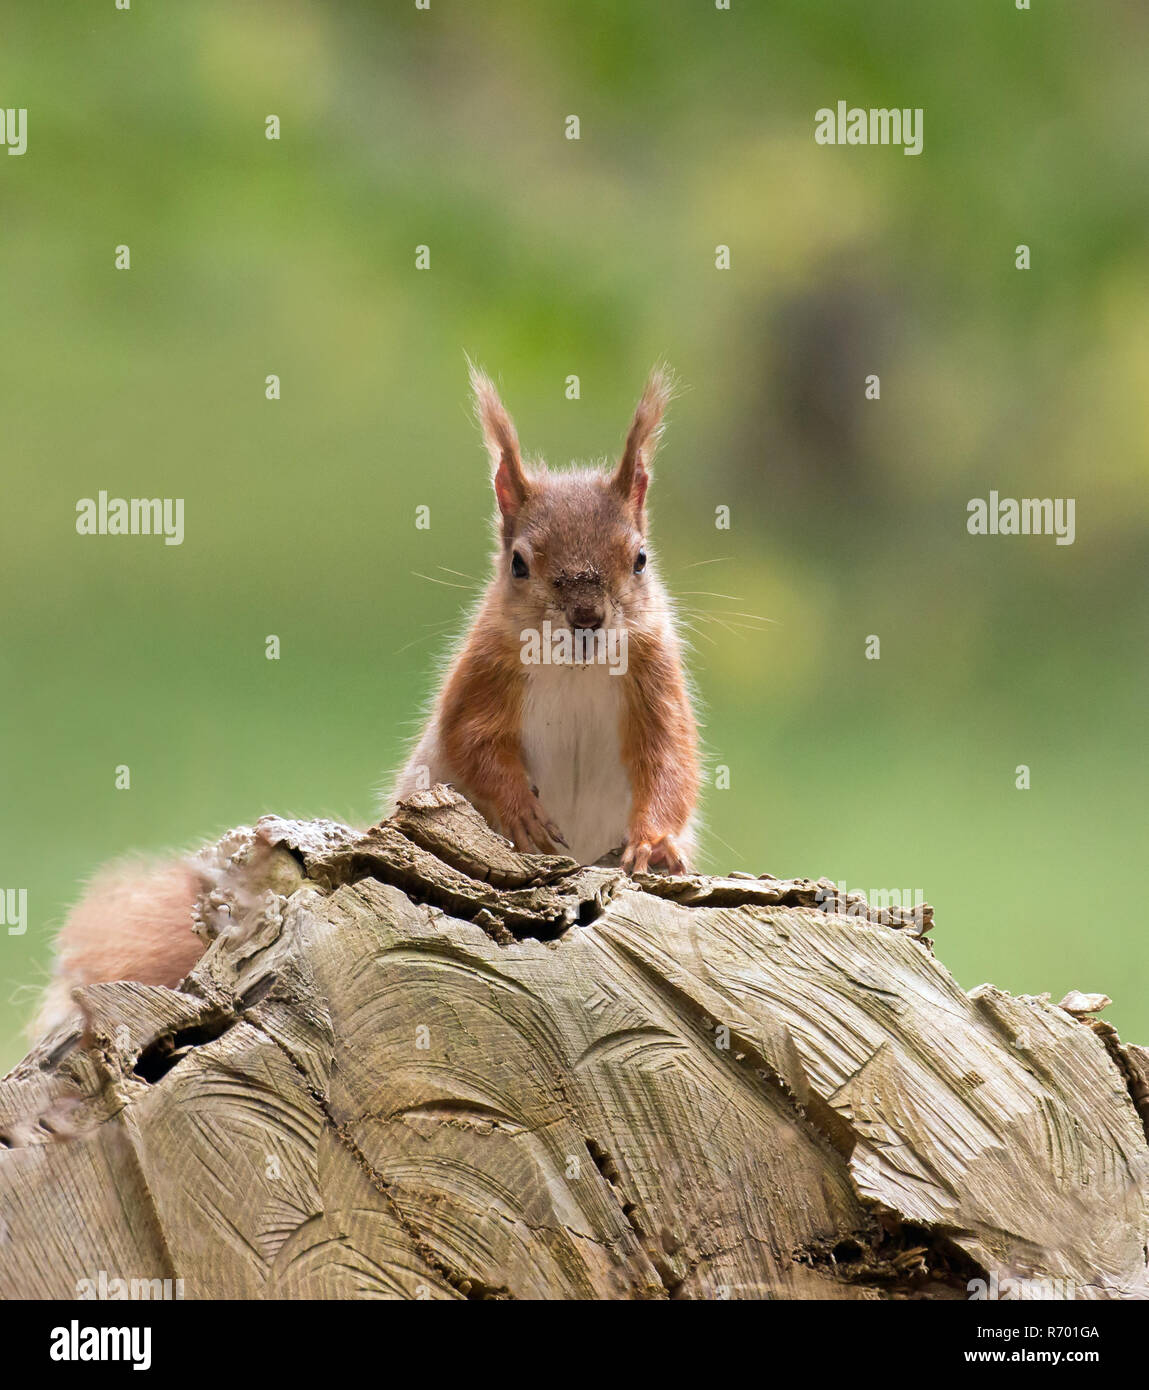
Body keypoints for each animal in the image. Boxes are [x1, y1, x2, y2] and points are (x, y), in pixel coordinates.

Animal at [30, 367, 700, 1038]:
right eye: (518, 564)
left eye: (639, 558)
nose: (587, 618)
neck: (575, 667)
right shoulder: (481, 678)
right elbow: (474, 742)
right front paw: (521, 817)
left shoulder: (655, 678)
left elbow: (671, 762)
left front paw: (654, 847)